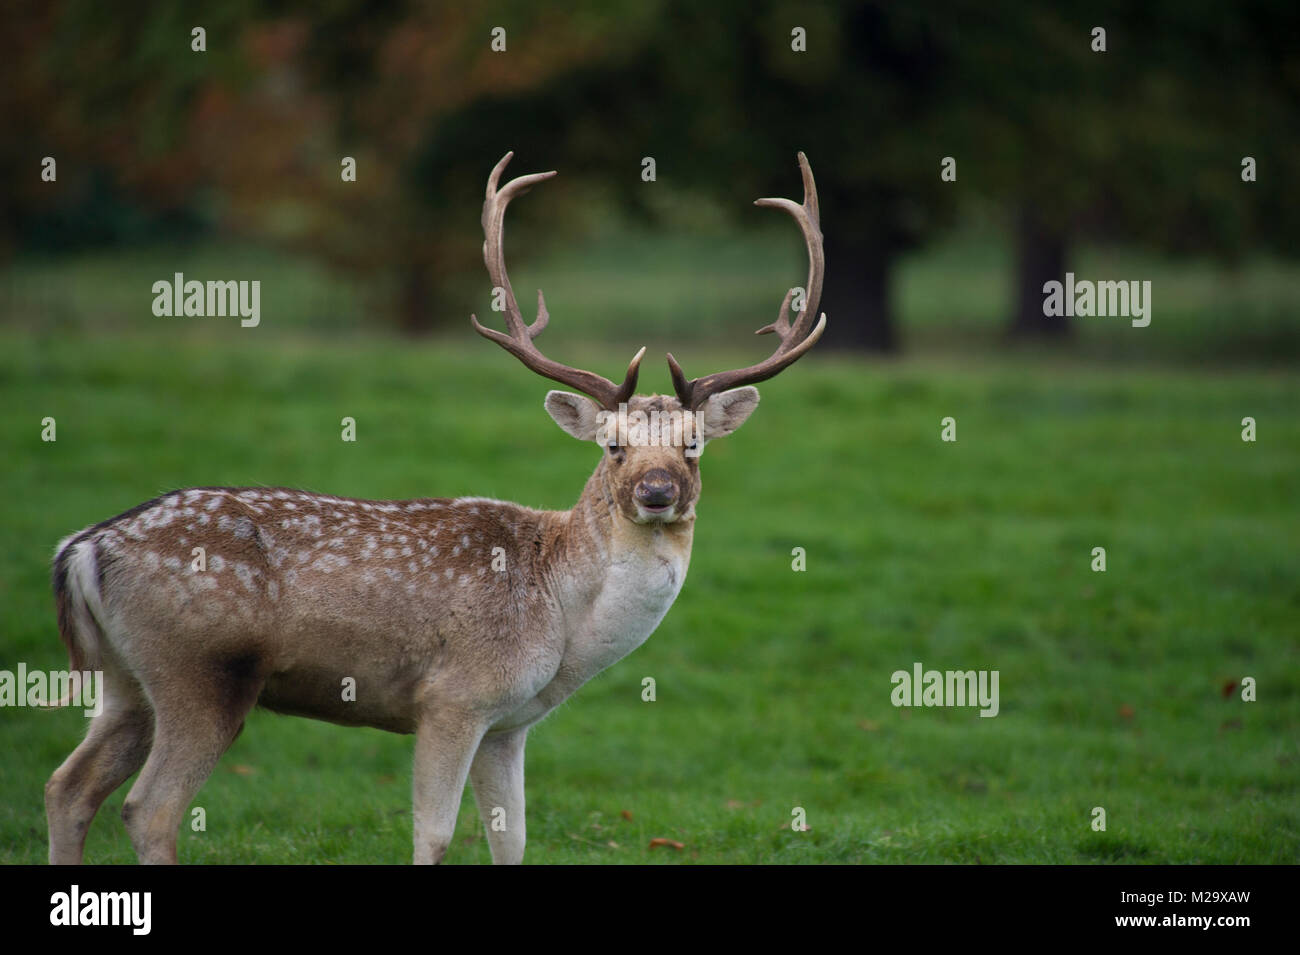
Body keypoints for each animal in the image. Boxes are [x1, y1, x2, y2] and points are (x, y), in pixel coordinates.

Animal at [43, 151, 826, 865]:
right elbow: (435, 833)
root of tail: (85, 548)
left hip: (125, 679)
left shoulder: (508, 724)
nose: (656, 491)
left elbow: (511, 840)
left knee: (67, 785)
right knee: (148, 807)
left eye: (695, 445)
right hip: (201, 670)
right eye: (612, 444)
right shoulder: (454, 696)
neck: (562, 619)